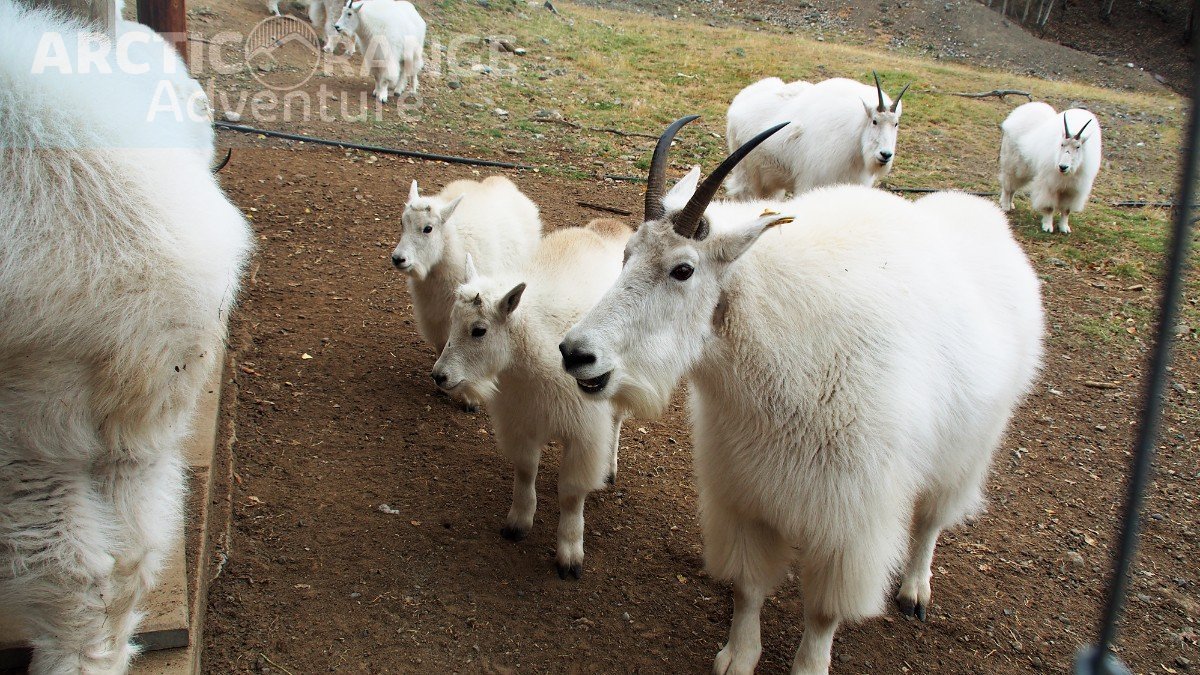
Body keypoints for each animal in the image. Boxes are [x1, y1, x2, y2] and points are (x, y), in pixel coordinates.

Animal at [392, 177, 542, 410]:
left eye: (428, 228)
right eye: (402, 222)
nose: (398, 259)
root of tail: (504, 182)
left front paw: (471, 398)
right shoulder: (437, 317)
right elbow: (445, 345)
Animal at [431, 219, 632, 579]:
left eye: (479, 330)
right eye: (453, 320)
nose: (440, 376)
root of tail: (609, 226)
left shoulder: (584, 433)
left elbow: (571, 495)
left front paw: (570, 555)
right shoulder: (520, 420)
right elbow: (525, 471)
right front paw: (517, 524)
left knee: (618, 419)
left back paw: (609, 470)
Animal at [559, 117, 1044, 674]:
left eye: (683, 269)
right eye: (626, 256)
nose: (576, 353)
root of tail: (987, 220)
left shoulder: (848, 524)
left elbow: (823, 611)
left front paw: (808, 664)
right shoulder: (744, 494)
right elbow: (749, 587)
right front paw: (737, 655)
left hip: (966, 452)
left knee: (930, 522)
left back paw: (915, 592)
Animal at [724, 72, 909, 200]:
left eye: (896, 124)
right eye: (875, 121)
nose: (885, 155)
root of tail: (740, 99)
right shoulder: (813, 183)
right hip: (747, 173)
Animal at [1000, 102, 1102, 234]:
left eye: (1078, 147)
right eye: (1062, 144)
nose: (1063, 167)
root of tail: (1016, 114)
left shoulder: (1073, 189)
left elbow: (1066, 210)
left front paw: (1064, 228)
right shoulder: (1049, 184)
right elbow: (1049, 207)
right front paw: (1048, 227)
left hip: (1025, 168)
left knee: (1013, 187)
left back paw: (1010, 204)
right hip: (1012, 163)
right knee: (1008, 185)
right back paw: (1005, 206)